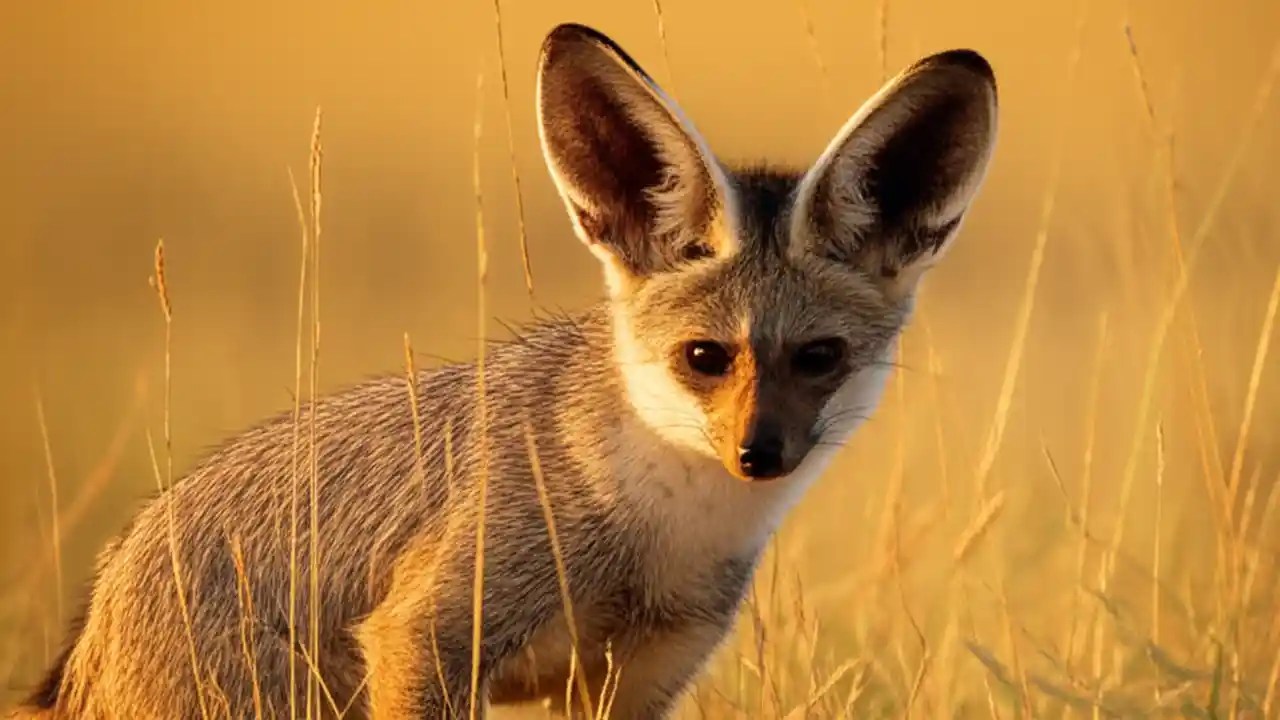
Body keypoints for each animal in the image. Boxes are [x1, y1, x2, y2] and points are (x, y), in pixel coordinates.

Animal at [9, 22, 998, 720]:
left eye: (819, 358)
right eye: (704, 359)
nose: (760, 454)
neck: (660, 532)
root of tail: (98, 605)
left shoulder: (636, 683)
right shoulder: (426, 636)